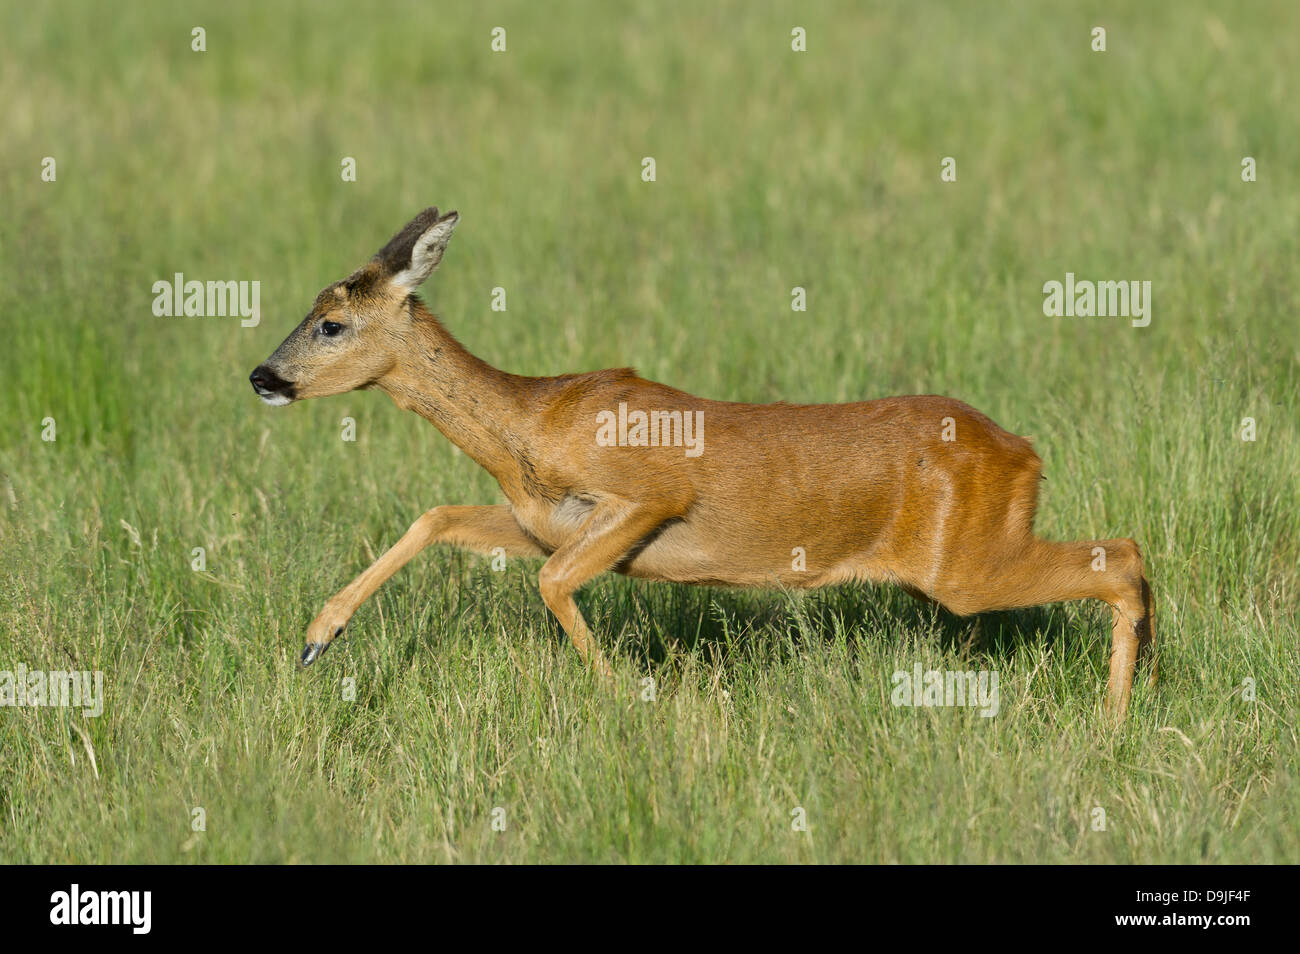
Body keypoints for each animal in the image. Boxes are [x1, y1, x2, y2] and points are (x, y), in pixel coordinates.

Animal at [249, 207, 1157, 719]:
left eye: (331, 323)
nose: (262, 375)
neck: (530, 429)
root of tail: (1027, 453)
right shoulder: (539, 521)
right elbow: (439, 517)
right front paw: (316, 639)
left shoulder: (649, 494)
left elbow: (553, 584)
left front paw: (627, 698)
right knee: (1125, 551)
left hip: (964, 567)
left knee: (1121, 557)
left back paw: (1114, 719)